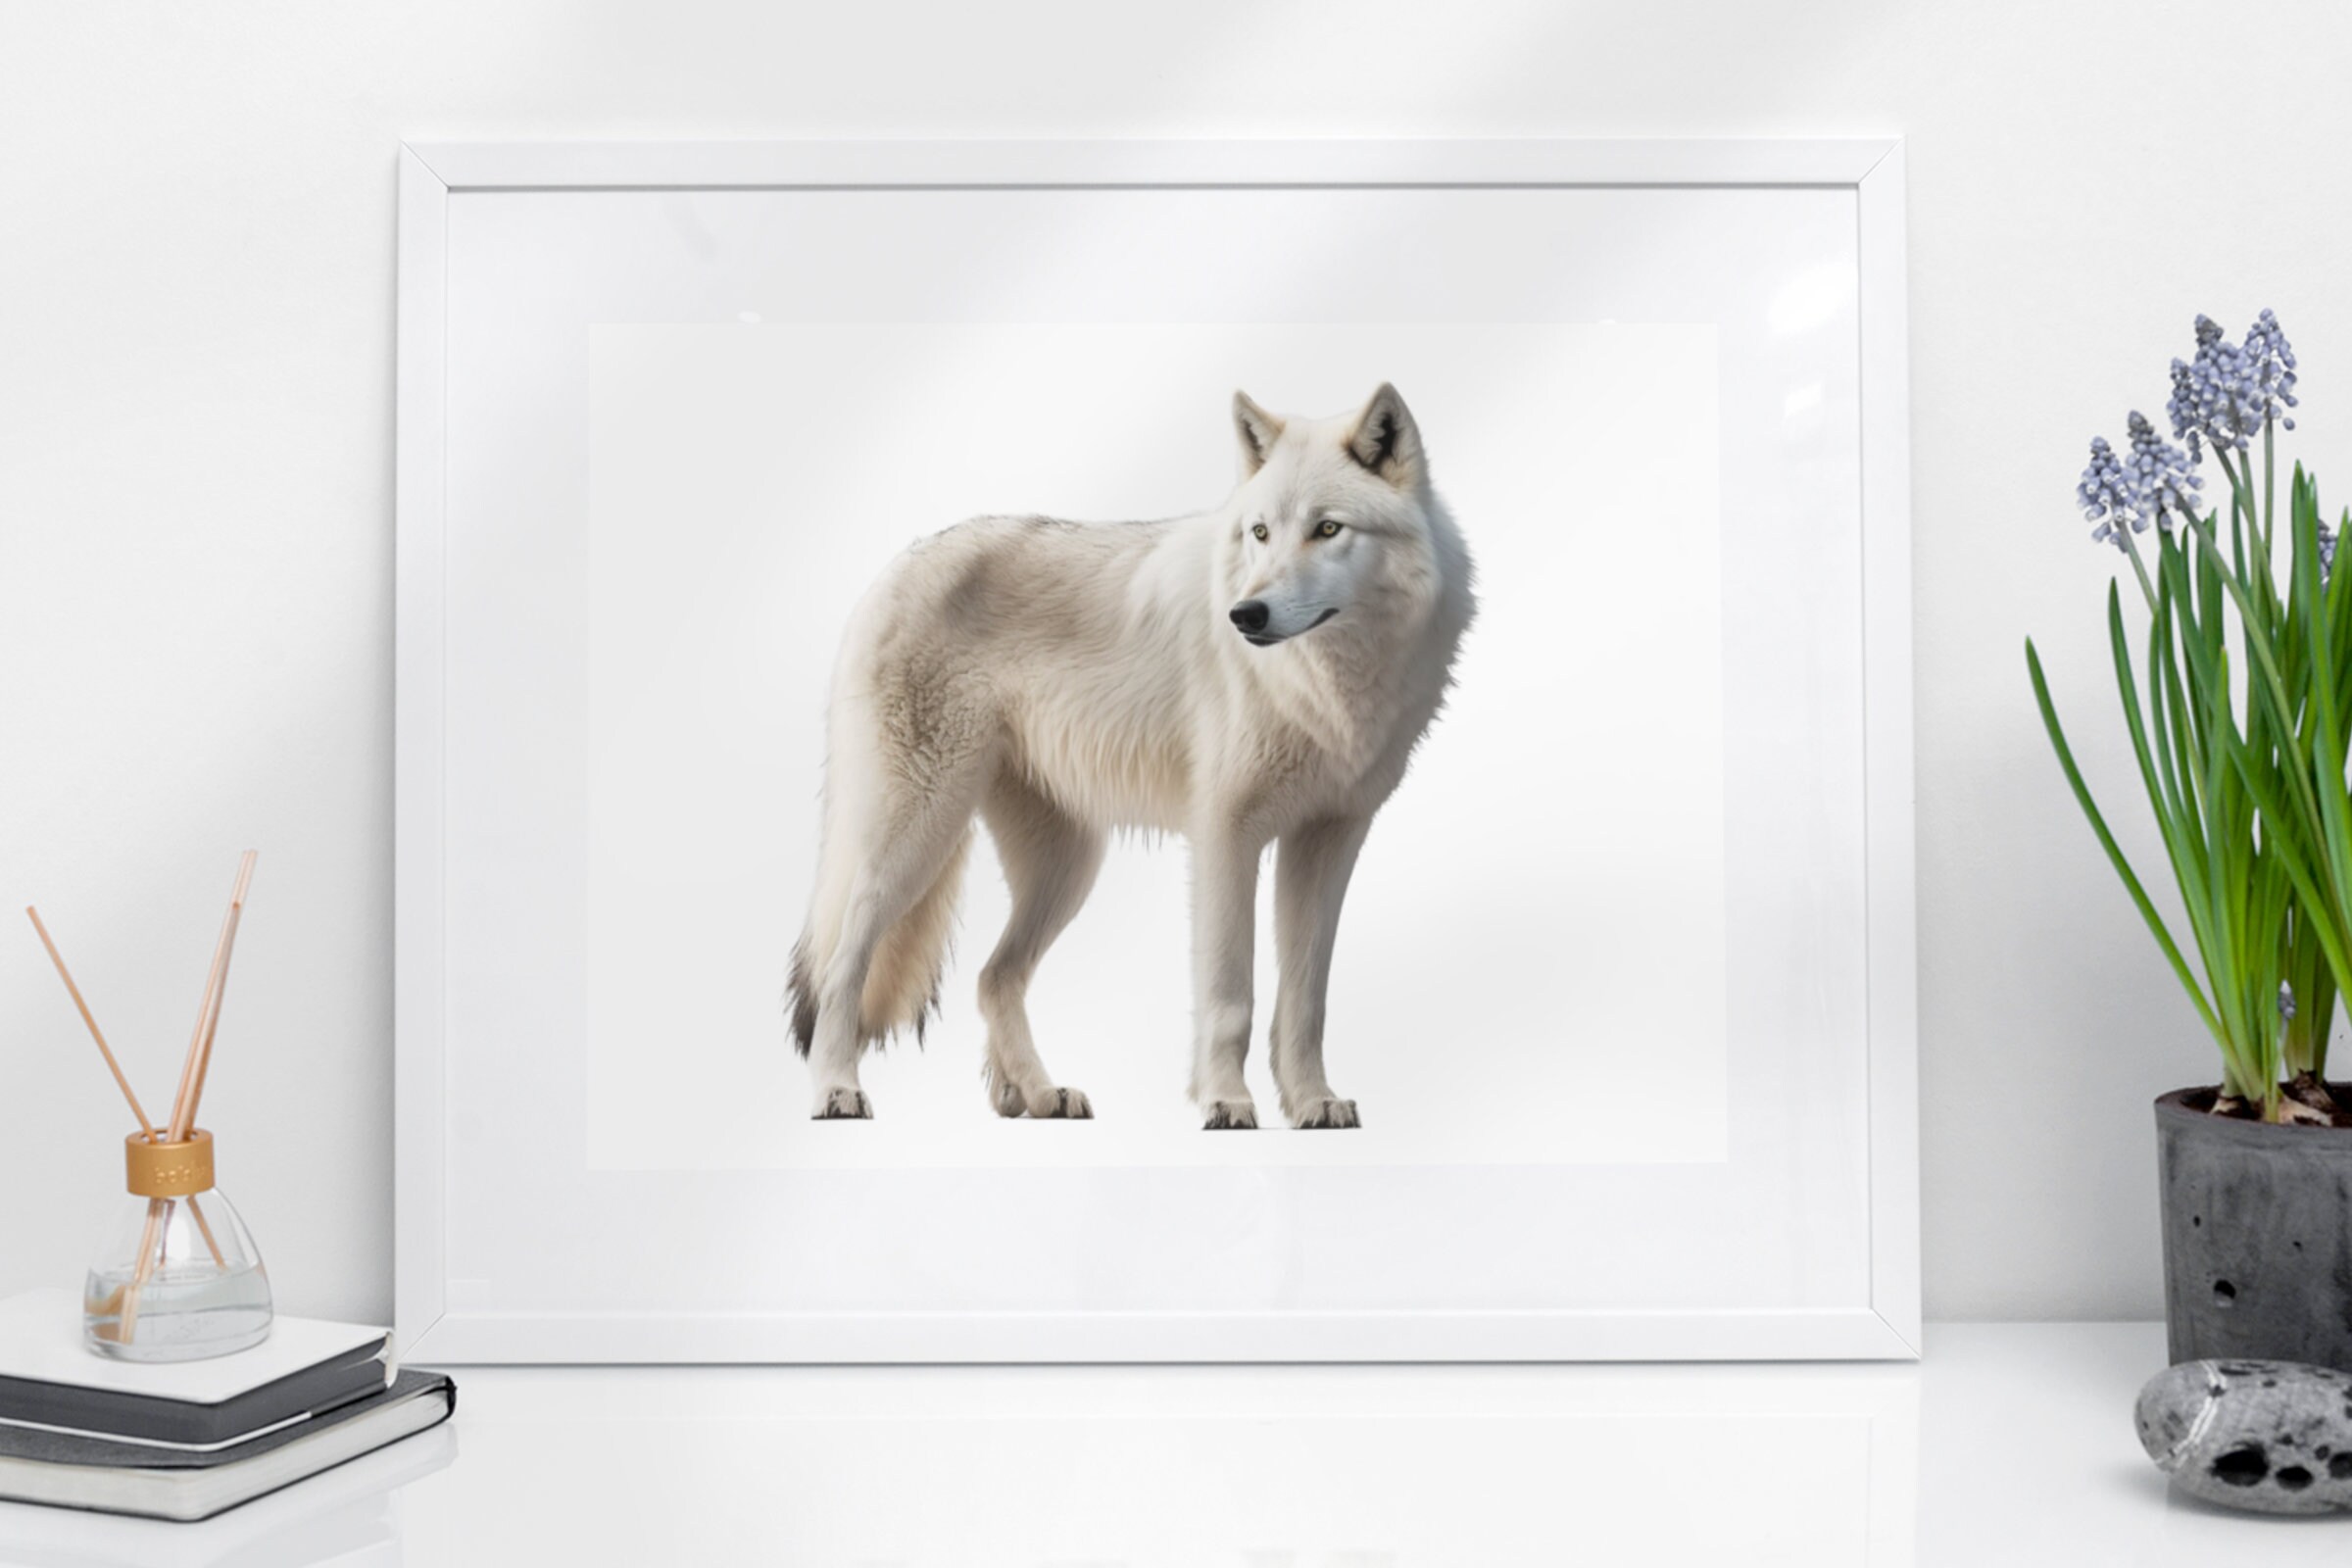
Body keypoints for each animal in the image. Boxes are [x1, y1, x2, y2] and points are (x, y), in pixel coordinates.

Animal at [787, 382, 1475, 1129]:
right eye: (1260, 532)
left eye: (1327, 529)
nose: (1246, 616)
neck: (1322, 685)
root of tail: (898, 564)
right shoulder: (1224, 835)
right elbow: (1230, 992)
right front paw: (1226, 1103)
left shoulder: (1328, 841)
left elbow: (1305, 1002)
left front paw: (1313, 1102)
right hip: (916, 835)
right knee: (841, 964)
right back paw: (836, 1091)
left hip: (1065, 867)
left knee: (993, 976)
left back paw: (1037, 1095)